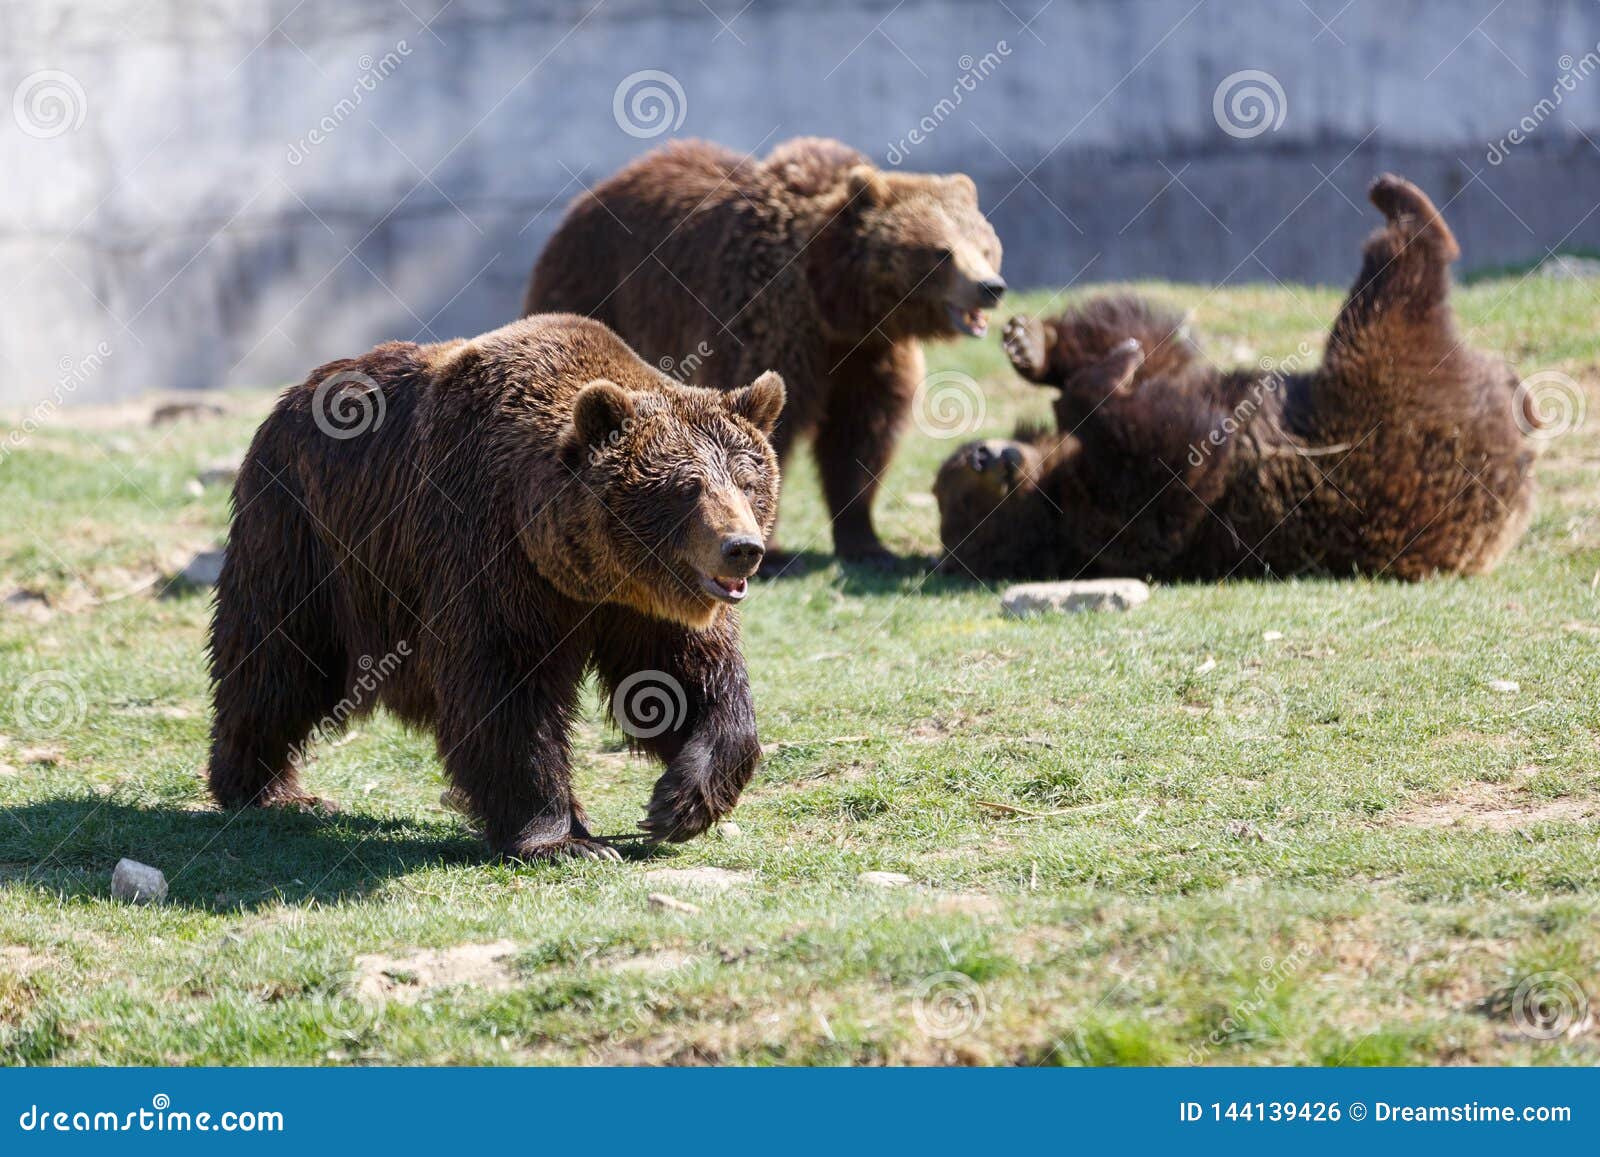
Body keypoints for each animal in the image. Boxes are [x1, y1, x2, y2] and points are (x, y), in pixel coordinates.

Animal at [207, 313, 787, 860]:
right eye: (687, 486)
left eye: (747, 482)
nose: (742, 547)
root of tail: (296, 393)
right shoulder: (490, 553)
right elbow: (505, 684)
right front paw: (563, 840)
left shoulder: (643, 603)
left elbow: (685, 678)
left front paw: (679, 803)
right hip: (304, 528)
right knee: (278, 658)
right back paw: (267, 788)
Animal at [523, 136, 1005, 569]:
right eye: (941, 252)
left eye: (985, 245)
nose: (990, 287)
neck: (835, 304)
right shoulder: (769, 320)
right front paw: (772, 551)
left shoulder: (871, 354)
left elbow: (862, 435)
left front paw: (867, 542)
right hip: (601, 289)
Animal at [936, 175, 1539, 583]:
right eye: (965, 492)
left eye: (960, 467)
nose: (988, 455)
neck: (1050, 474)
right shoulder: (1111, 519)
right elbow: (1177, 464)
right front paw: (1102, 378)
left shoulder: (1178, 389)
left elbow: (1155, 348)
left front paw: (1037, 345)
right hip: (1386, 397)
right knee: (1391, 295)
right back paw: (1405, 209)